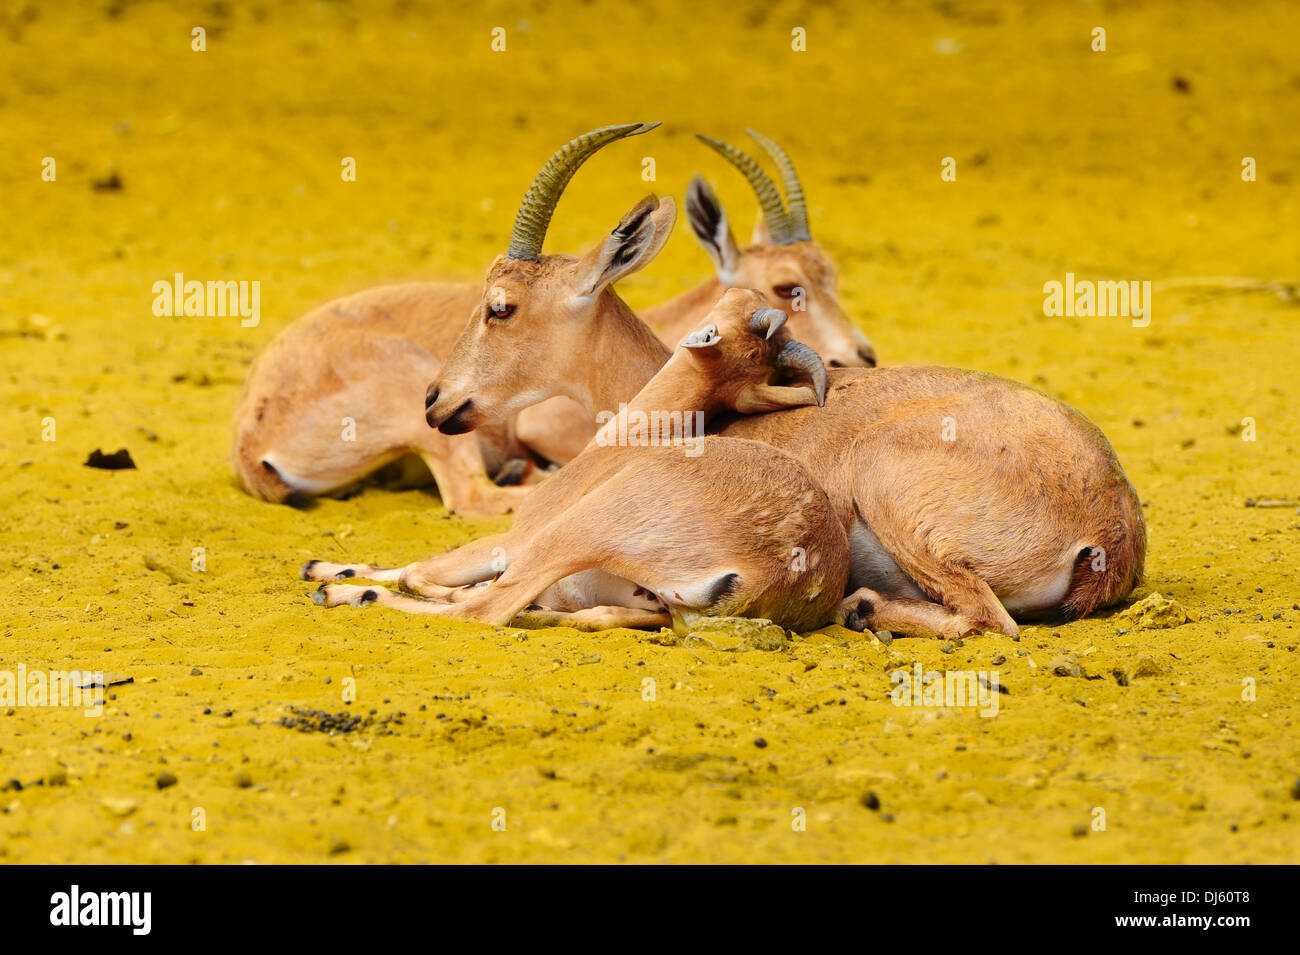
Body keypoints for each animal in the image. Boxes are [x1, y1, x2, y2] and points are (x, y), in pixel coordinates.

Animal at [304, 289, 849, 634]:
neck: (633, 435)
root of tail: (776, 571)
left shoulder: (518, 536)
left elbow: (418, 570)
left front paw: (341, 581)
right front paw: (324, 566)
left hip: (576, 533)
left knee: (485, 610)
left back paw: (351, 597)